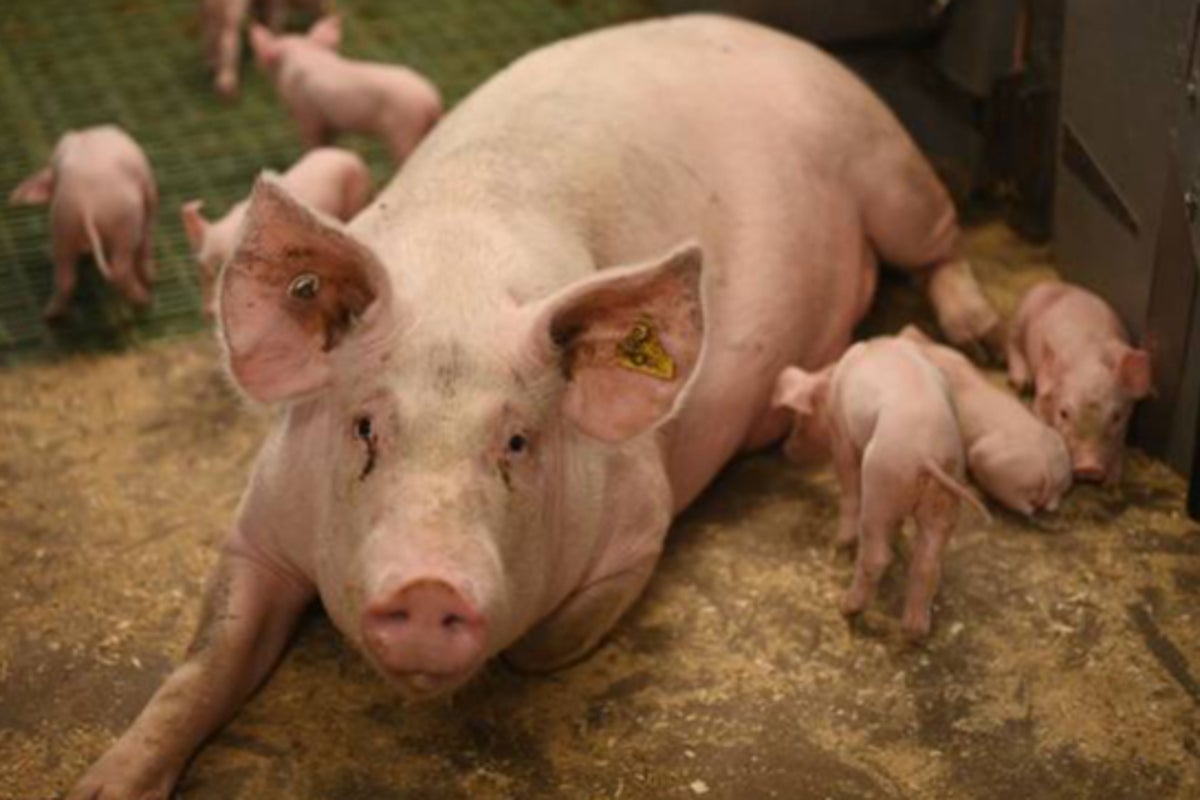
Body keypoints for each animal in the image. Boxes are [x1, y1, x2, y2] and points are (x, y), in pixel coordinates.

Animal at [9, 125, 158, 320]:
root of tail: (86, 202)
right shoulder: (149, 191)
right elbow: (148, 232)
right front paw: (151, 274)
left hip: (62, 223)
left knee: (65, 278)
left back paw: (50, 314)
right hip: (124, 223)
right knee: (120, 269)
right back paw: (144, 299)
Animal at [249, 15, 443, 163]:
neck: (304, 55)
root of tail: (431, 101)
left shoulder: (307, 114)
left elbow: (312, 143)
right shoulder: (330, 122)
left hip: (404, 127)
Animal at [773, 338, 986, 640]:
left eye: (800, 420)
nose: (786, 450)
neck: (832, 379)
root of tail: (927, 455)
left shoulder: (842, 435)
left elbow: (849, 485)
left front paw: (840, 543)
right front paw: (897, 534)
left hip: (882, 480)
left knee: (877, 556)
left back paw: (846, 607)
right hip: (945, 494)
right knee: (928, 561)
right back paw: (914, 630)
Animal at [1006, 280, 1153, 484]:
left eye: (1117, 417)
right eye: (1063, 413)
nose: (1089, 467)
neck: (1088, 361)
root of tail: (1063, 284)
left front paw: (1112, 482)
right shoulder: (1043, 397)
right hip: (1021, 316)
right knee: (1011, 342)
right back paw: (1021, 383)